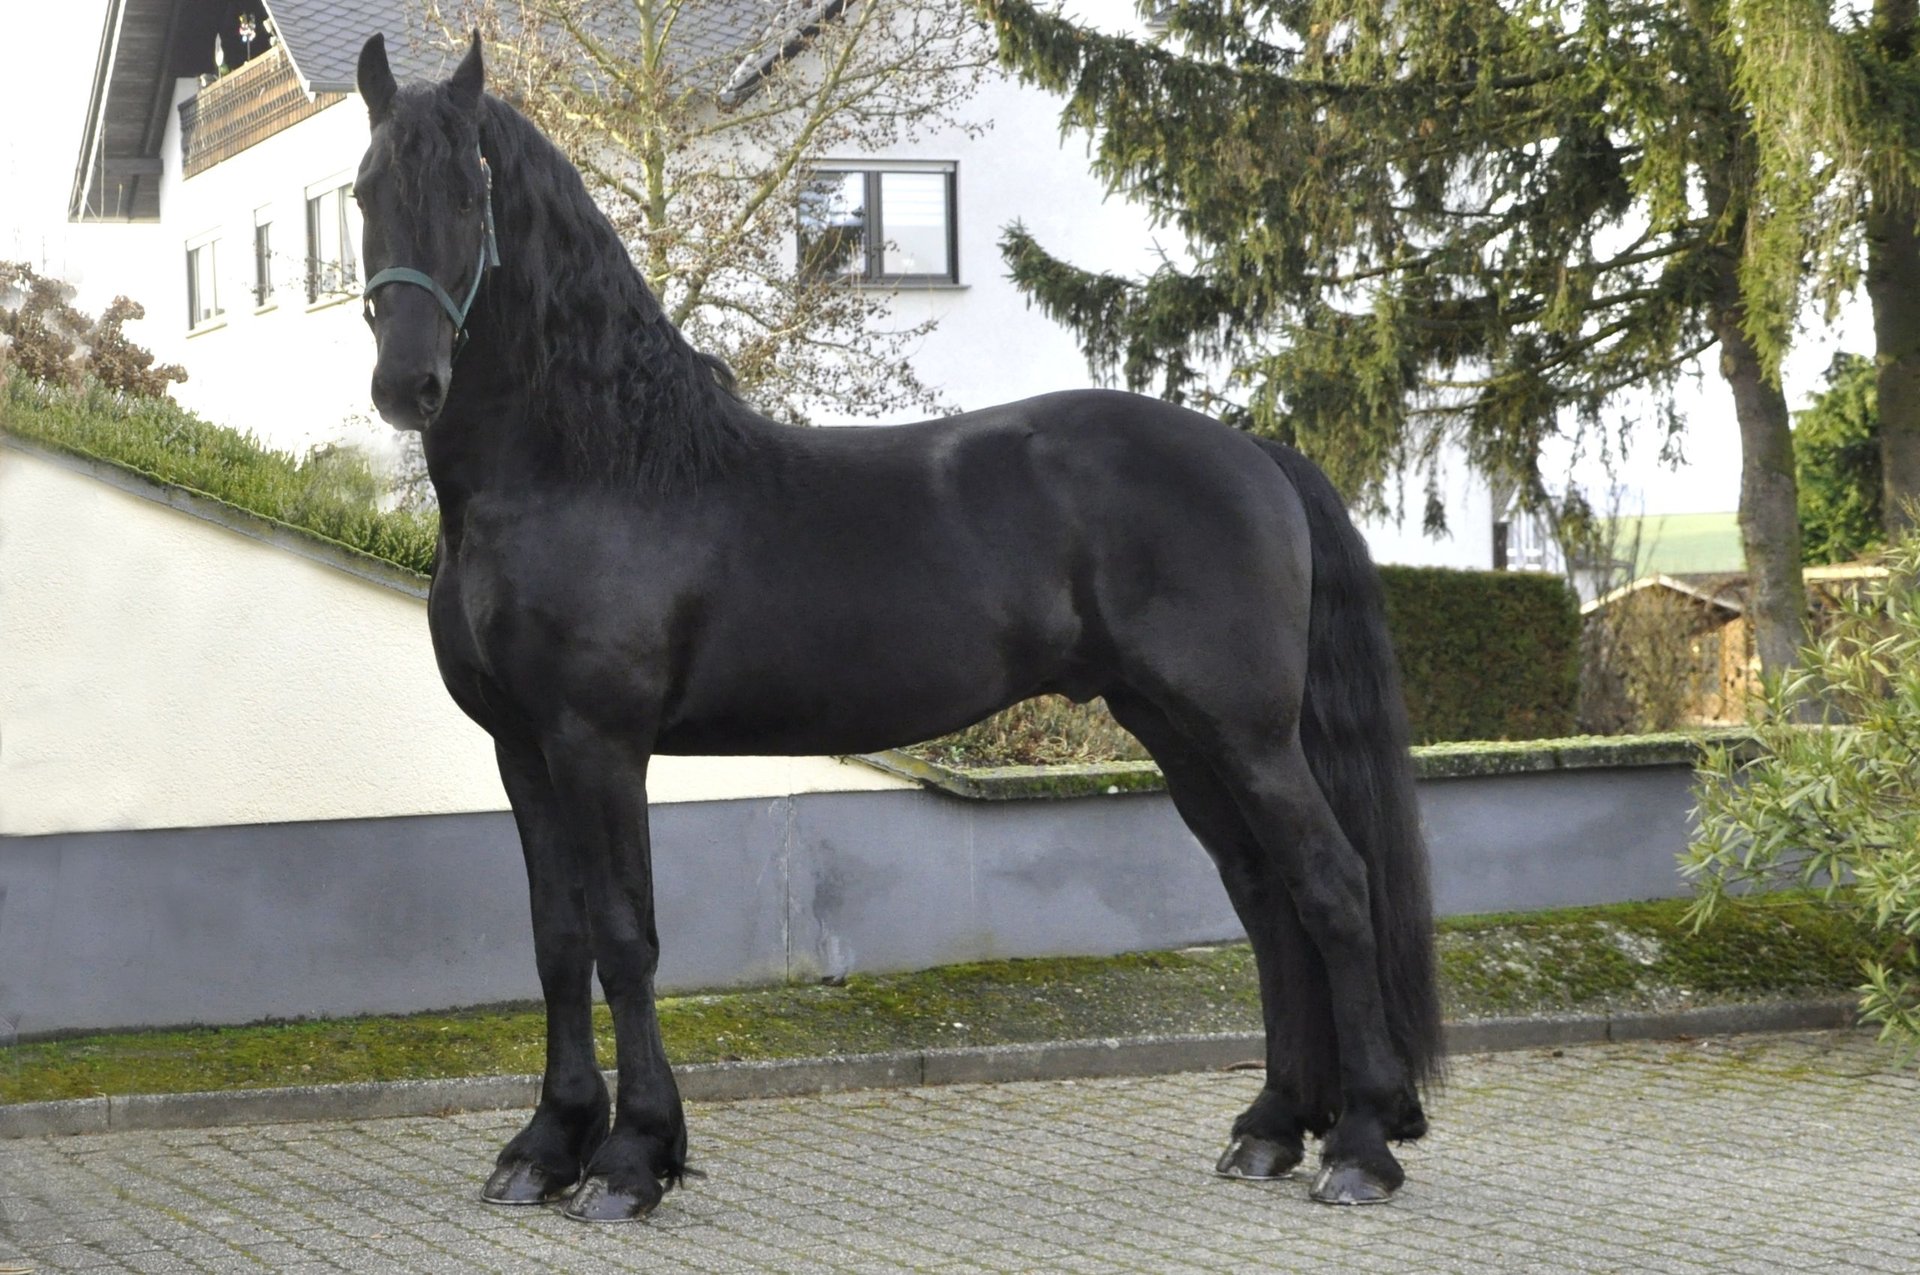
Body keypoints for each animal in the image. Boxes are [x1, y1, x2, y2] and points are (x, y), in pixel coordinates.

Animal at [352, 32, 1441, 1223]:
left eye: (469, 193)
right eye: (364, 193)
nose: (409, 384)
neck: (588, 470)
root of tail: (1255, 452)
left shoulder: (599, 743)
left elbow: (625, 938)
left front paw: (633, 1159)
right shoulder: (522, 748)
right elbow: (557, 942)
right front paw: (545, 1146)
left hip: (1245, 732)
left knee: (1333, 888)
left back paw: (1362, 1145)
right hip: (1175, 729)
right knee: (1265, 898)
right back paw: (1271, 1128)